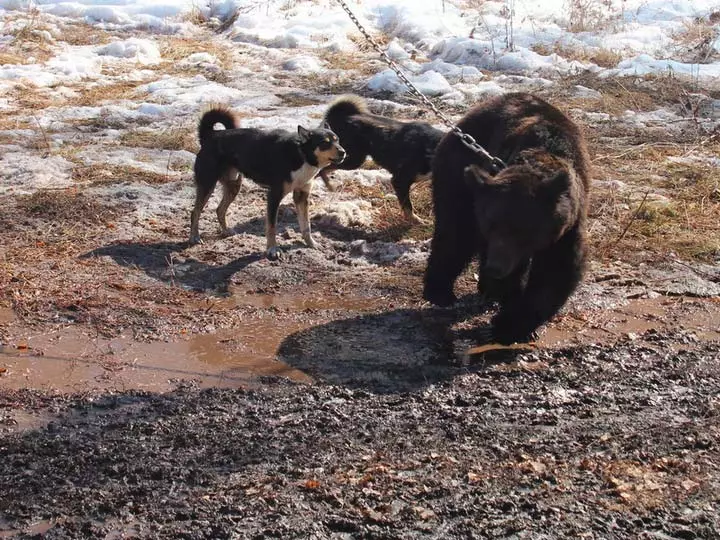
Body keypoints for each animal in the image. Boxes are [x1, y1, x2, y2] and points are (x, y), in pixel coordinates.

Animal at [188, 107, 346, 260]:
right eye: (324, 143)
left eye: (337, 140)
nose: (343, 152)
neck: (301, 155)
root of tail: (210, 135)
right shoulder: (274, 196)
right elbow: (272, 227)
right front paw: (272, 250)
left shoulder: (302, 196)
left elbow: (306, 225)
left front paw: (311, 244)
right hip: (207, 184)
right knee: (195, 212)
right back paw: (194, 237)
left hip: (234, 185)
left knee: (219, 209)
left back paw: (226, 231)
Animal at [320, 95, 444, 224]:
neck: (433, 147)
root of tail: (343, 116)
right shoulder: (399, 181)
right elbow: (408, 206)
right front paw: (415, 221)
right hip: (351, 159)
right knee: (323, 168)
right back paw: (327, 184)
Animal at [424, 92, 588, 344]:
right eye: (492, 225)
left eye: (523, 230)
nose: (496, 268)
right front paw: (505, 317)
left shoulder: (568, 224)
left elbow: (555, 270)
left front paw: (513, 325)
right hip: (458, 168)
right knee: (455, 229)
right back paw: (440, 291)